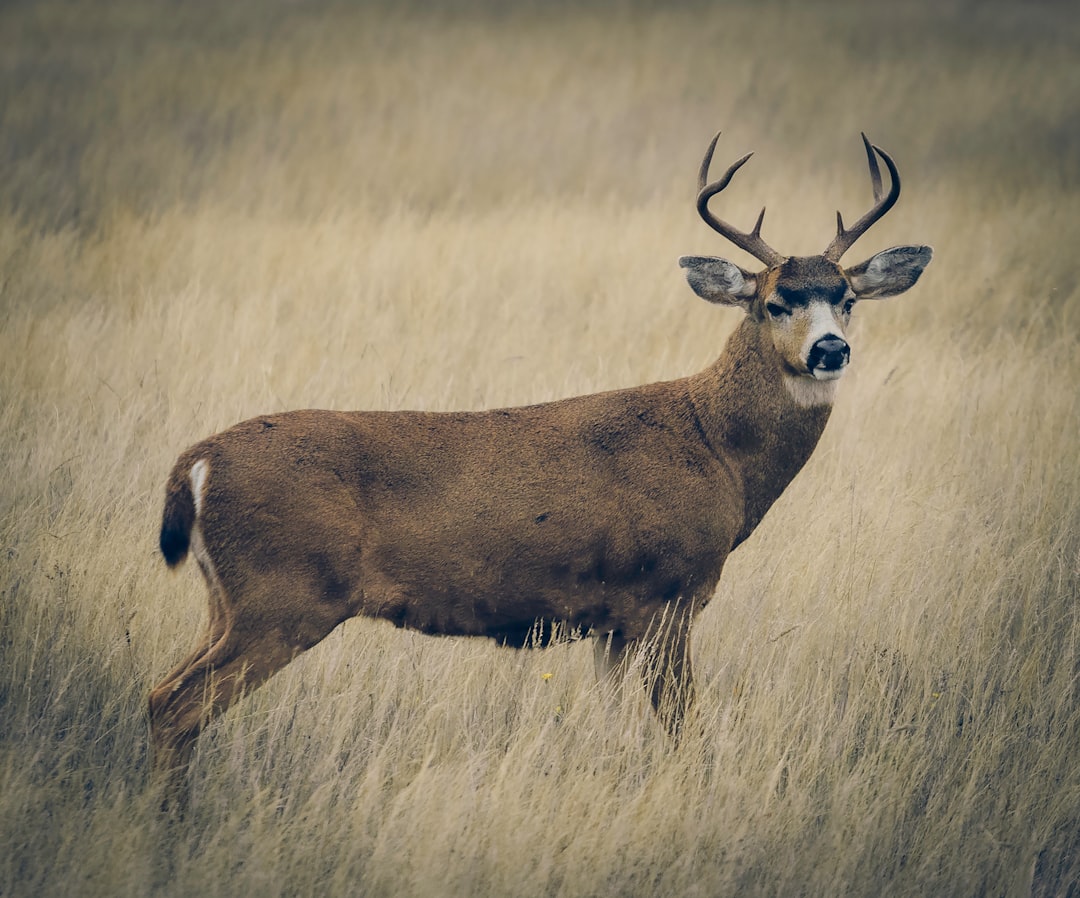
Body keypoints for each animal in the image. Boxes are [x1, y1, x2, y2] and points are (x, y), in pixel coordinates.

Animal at [149, 132, 931, 801]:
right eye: (773, 302)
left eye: (848, 299)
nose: (830, 350)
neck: (716, 447)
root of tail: (196, 462)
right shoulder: (669, 592)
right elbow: (685, 730)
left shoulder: (613, 619)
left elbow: (620, 731)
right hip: (284, 595)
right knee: (179, 706)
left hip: (228, 599)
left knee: (161, 694)